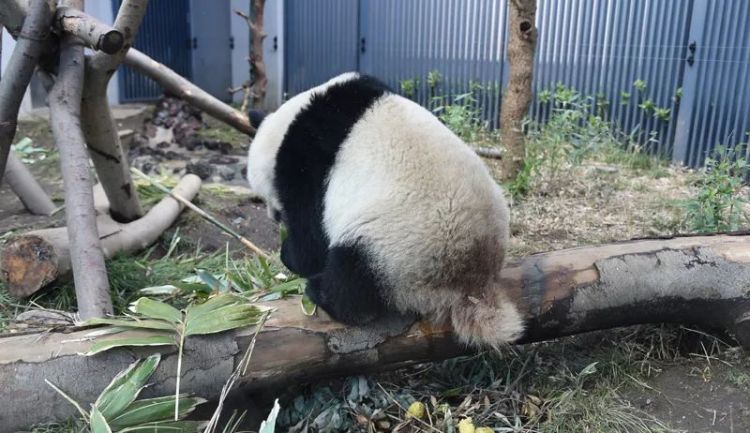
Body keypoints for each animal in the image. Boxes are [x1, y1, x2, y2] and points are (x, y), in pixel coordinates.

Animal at [247, 72, 524, 349]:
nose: (273, 216)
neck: (286, 126)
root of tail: (472, 285)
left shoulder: (306, 161)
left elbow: (310, 241)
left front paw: (288, 254)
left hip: (397, 250)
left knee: (352, 276)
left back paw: (321, 293)